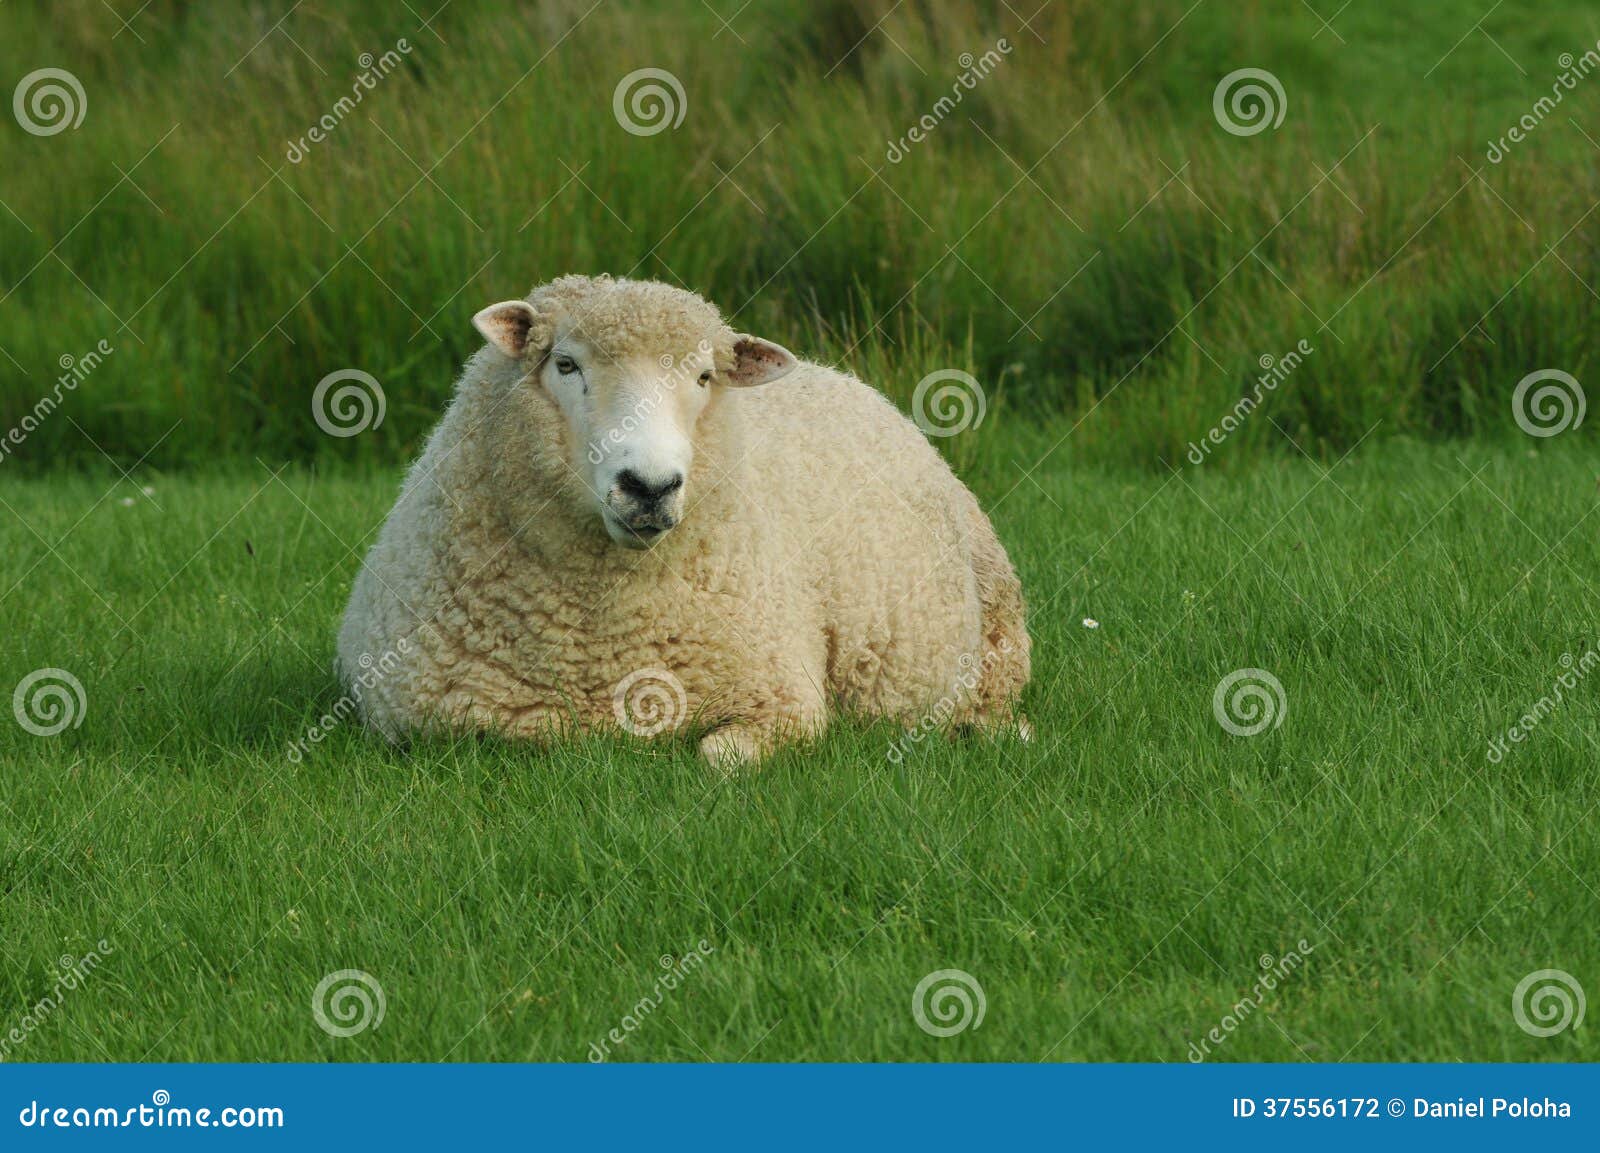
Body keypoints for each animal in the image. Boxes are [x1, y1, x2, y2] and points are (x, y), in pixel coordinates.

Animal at [336, 274, 1030, 767]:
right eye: (566, 365)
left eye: (703, 376)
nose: (649, 487)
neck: (604, 635)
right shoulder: (438, 710)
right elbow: (539, 731)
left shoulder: (782, 698)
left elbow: (719, 757)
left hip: (994, 630)